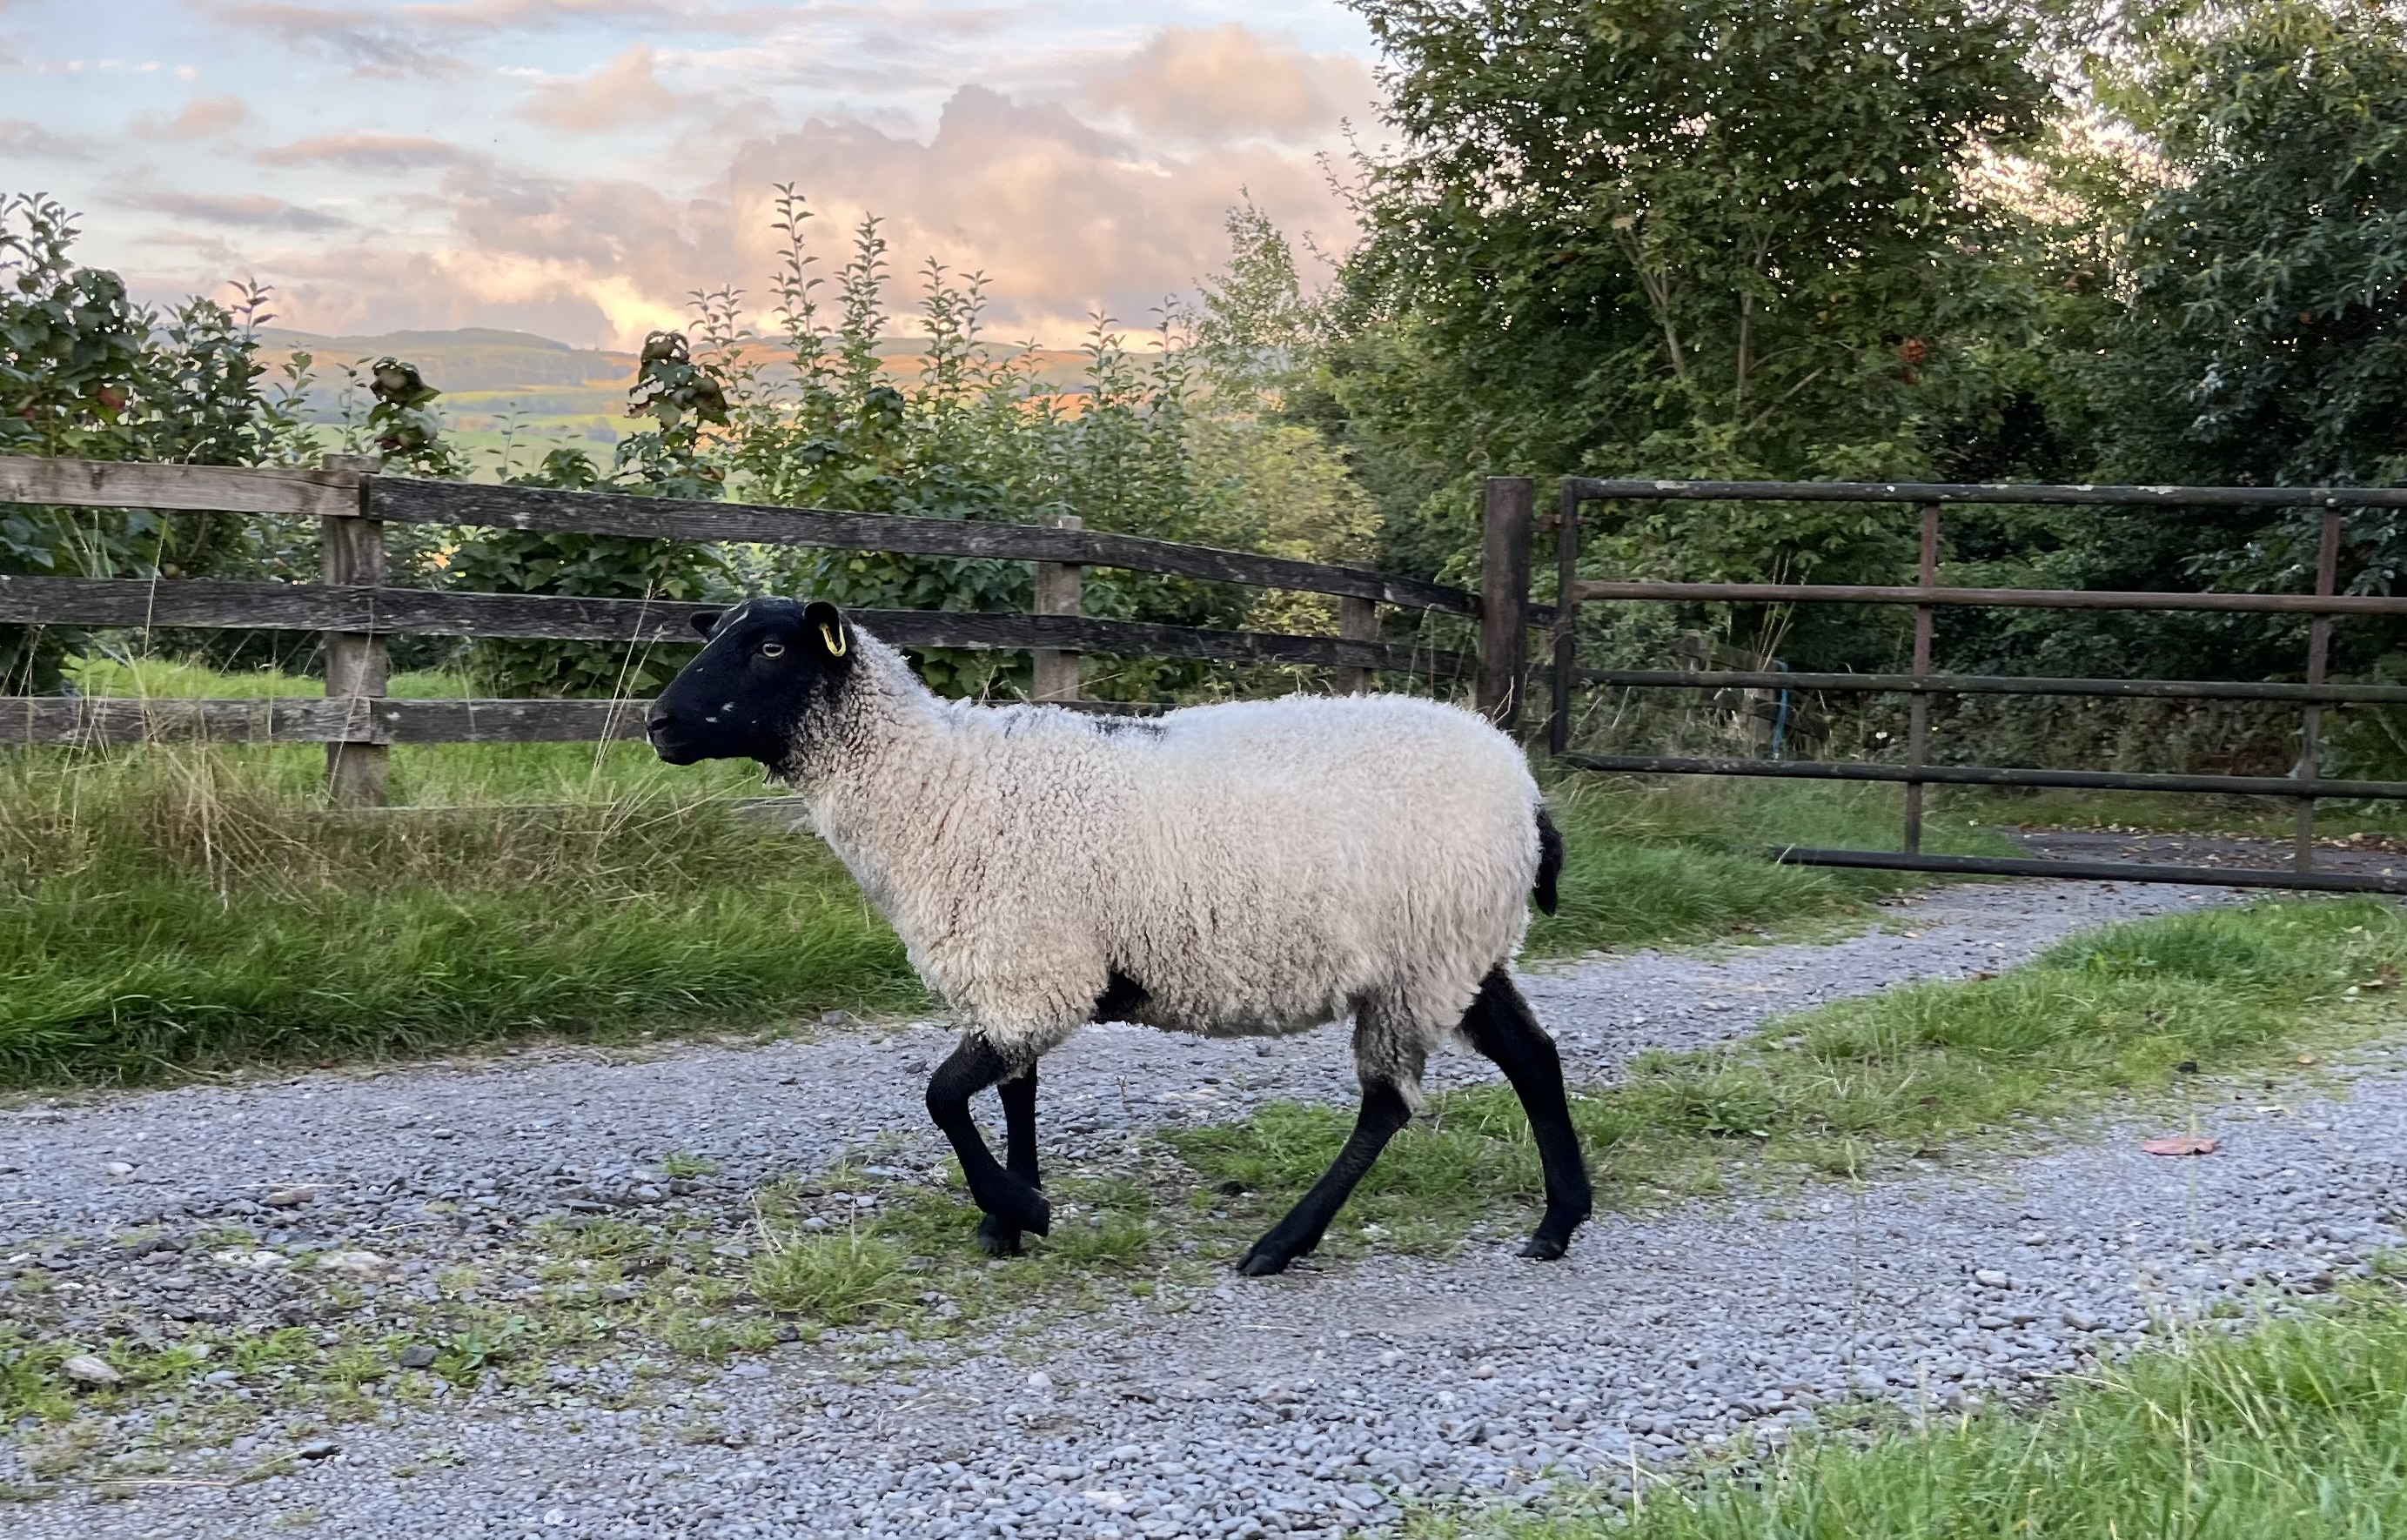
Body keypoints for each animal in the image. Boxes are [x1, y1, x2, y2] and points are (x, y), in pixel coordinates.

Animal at [646, 597, 1590, 1275]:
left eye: (772, 650)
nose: (657, 722)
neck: (934, 785)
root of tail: (1523, 783)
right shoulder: (1015, 975)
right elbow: (1013, 1095)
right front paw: (1007, 1220)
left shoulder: (1037, 973)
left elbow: (944, 1097)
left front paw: (1021, 1209)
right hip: (1463, 950)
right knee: (1532, 1057)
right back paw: (1558, 1221)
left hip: (1420, 961)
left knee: (1389, 1103)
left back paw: (1281, 1244)